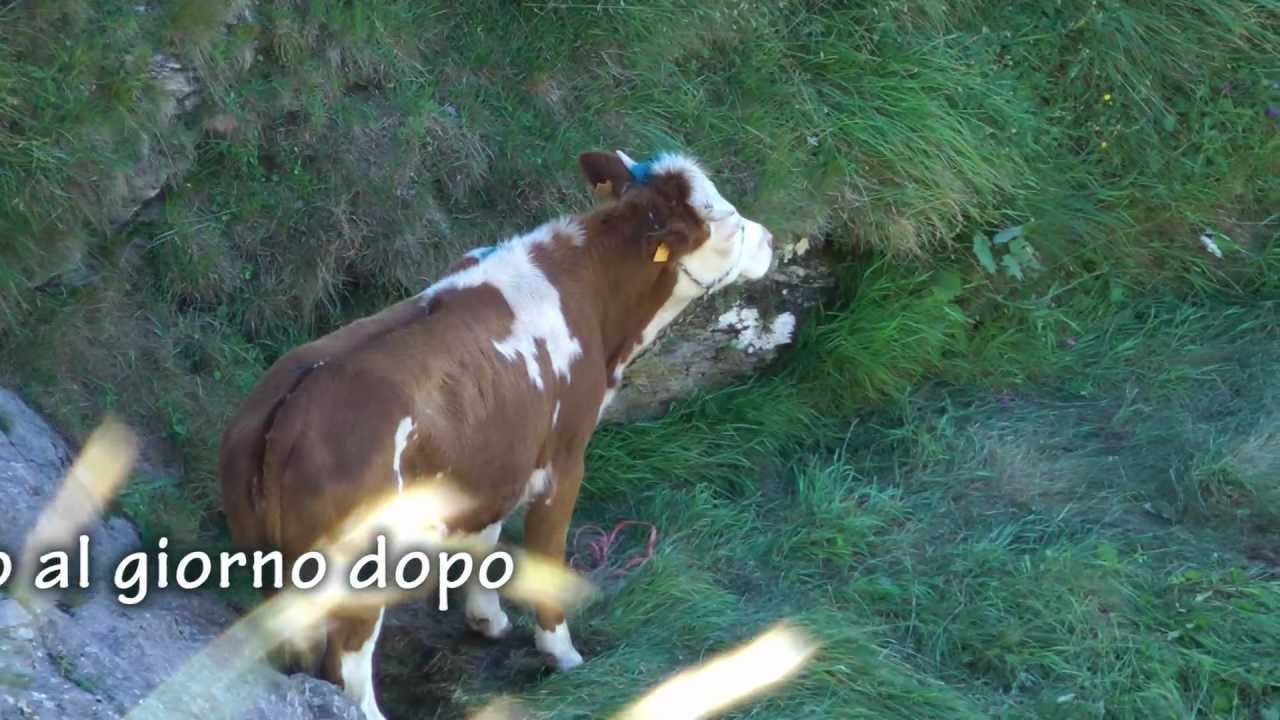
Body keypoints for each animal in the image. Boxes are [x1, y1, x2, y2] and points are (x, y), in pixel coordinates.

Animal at [219, 149, 775, 720]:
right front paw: (561, 652)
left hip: (268, 564)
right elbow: (547, 553)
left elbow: (485, 537)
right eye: (730, 223)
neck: (598, 309)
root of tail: (295, 404)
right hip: (360, 567)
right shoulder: (564, 457)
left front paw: (487, 619)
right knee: (347, 667)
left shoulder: (496, 457)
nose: (771, 239)